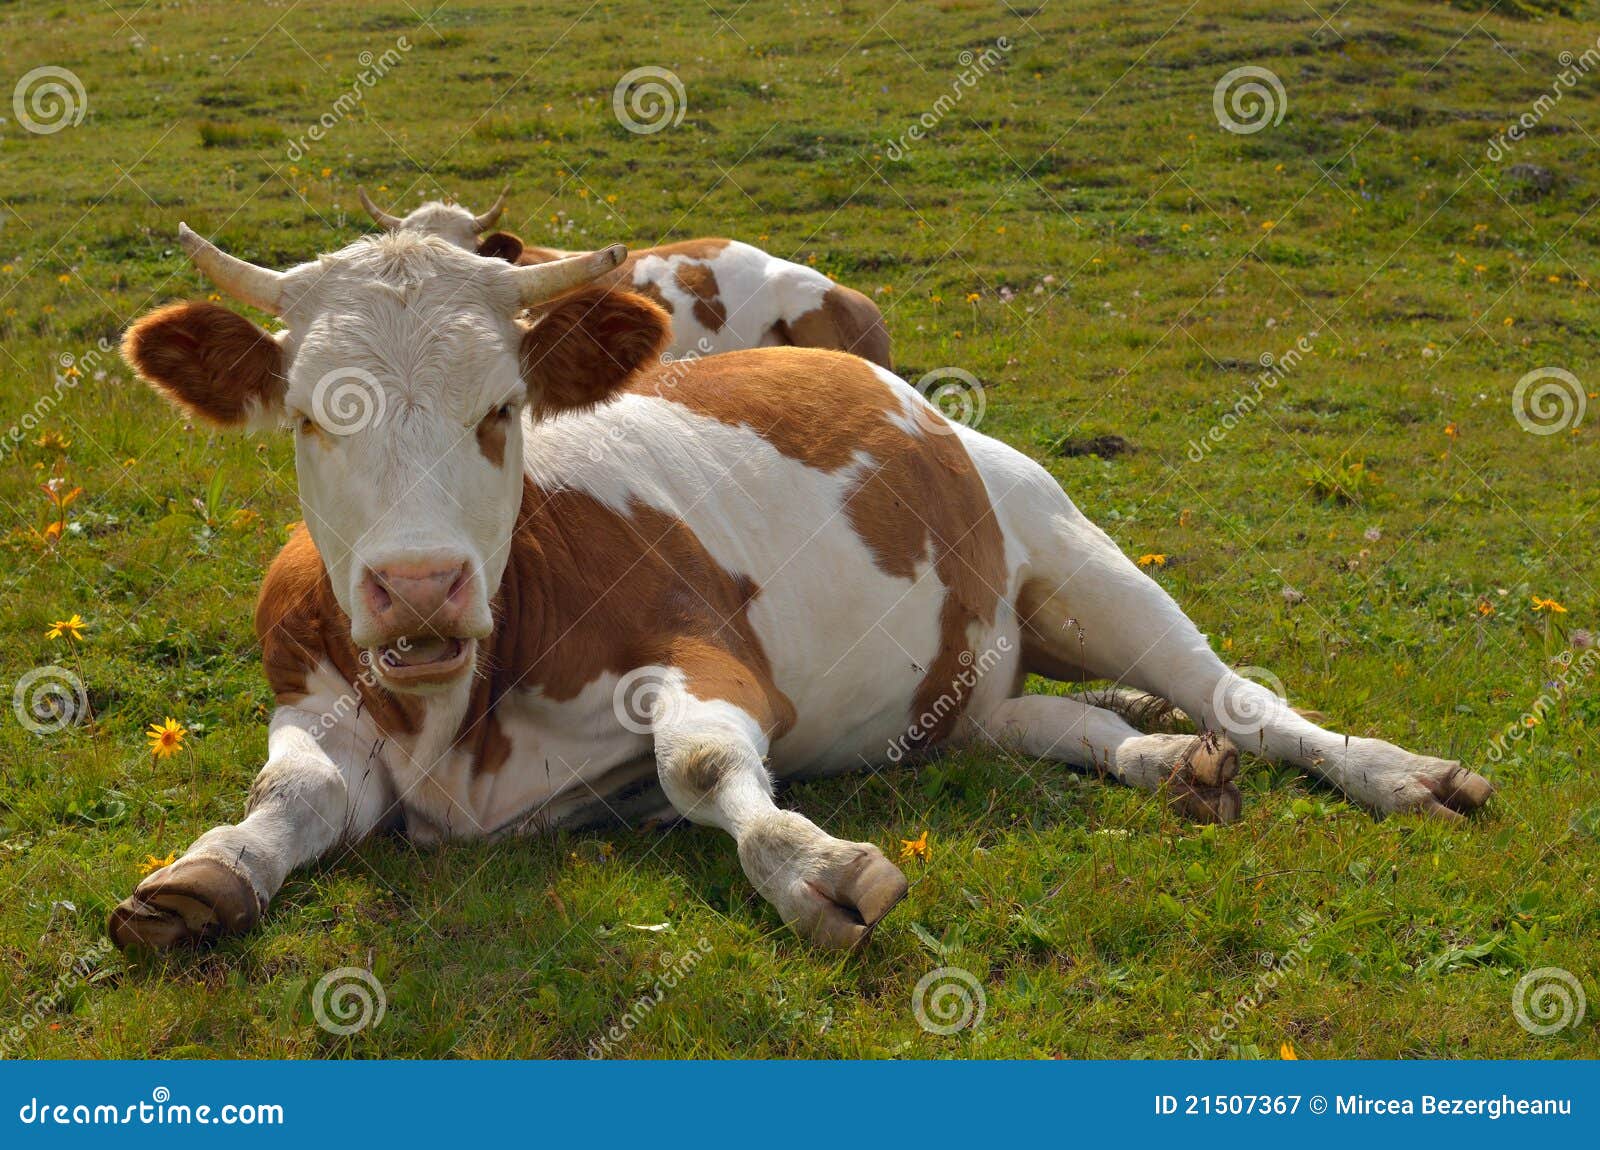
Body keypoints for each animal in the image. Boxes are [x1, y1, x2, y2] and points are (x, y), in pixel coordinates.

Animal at [107, 226, 1492, 953]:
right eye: (310, 415)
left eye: (501, 409)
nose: (416, 584)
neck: (460, 713)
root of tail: (904, 390)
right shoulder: (318, 697)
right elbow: (289, 797)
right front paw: (205, 871)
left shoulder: (708, 654)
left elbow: (703, 765)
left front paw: (814, 868)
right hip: (967, 685)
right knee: (1047, 720)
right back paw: (1165, 758)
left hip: (1079, 557)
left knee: (1241, 697)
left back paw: (1395, 774)